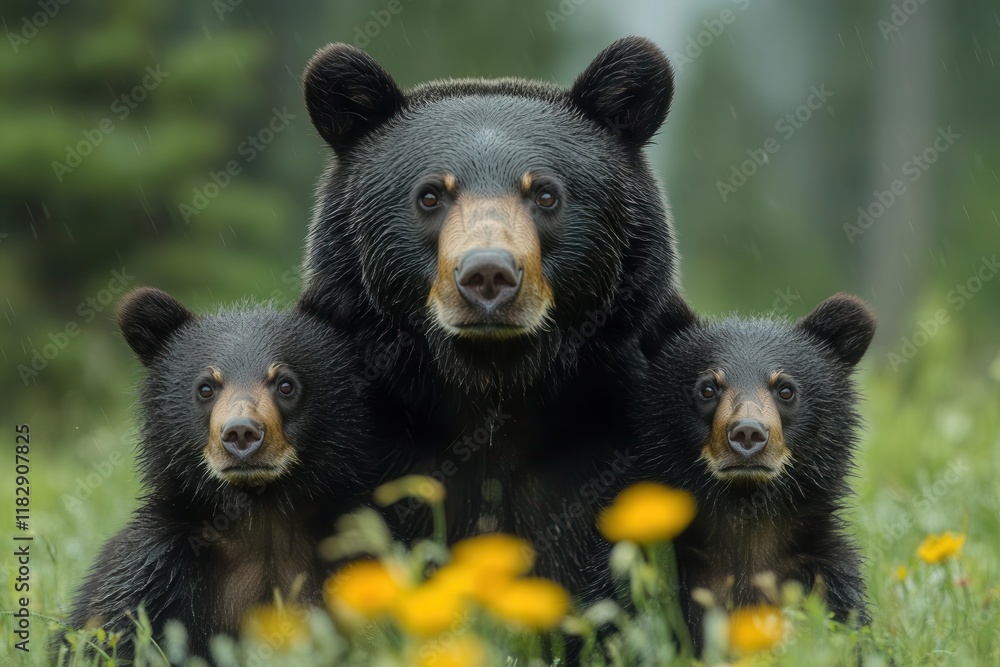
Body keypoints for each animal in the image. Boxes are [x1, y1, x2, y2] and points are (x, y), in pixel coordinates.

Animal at [63, 285, 374, 659]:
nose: (241, 433)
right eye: (206, 388)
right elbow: (116, 629)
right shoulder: (156, 566)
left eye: (285, 384)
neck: (261, 515)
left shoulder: (349, 554)